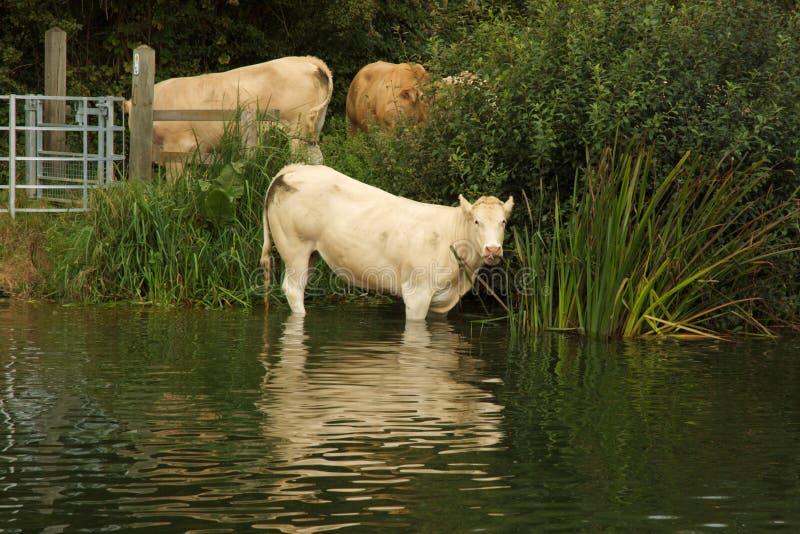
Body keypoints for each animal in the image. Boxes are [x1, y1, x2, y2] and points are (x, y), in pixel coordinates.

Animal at [260, 164, 514, 320]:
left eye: (503, 222)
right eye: (477, 221)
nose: (493, 249)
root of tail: (294, 169)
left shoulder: (441, 302)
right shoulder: (416, 292)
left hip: (310, 252)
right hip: (294, 248)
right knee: (293, 289)